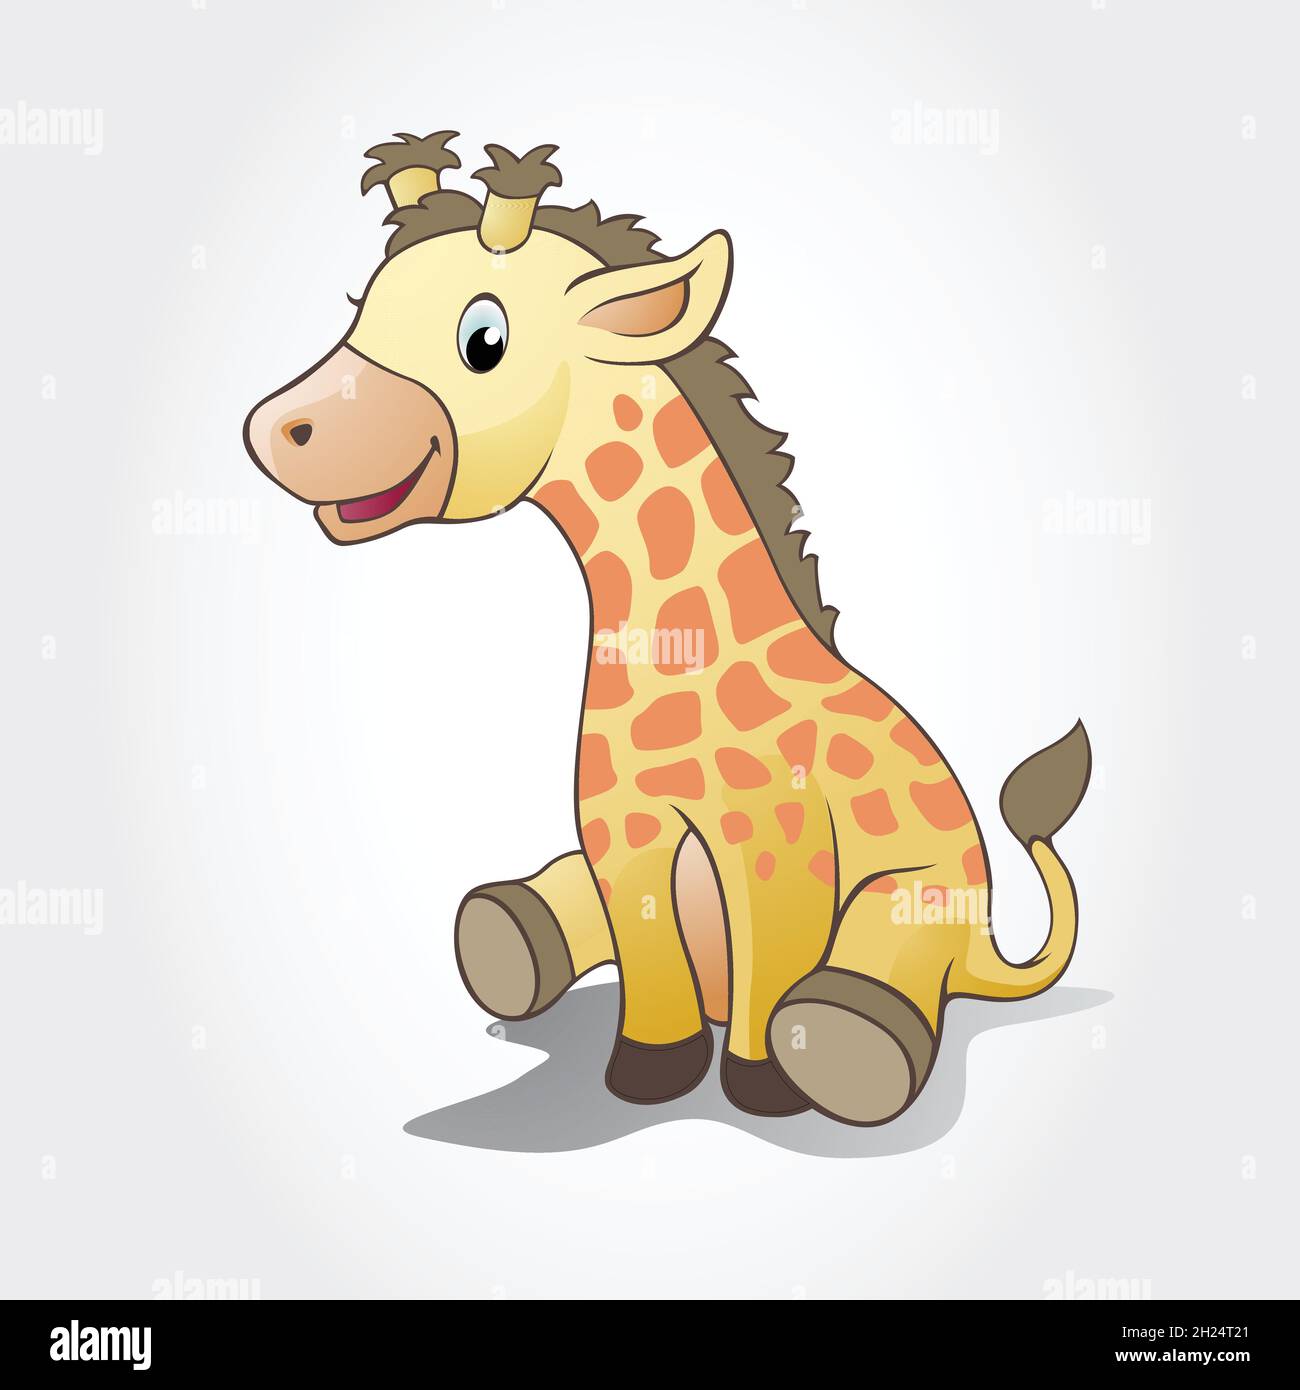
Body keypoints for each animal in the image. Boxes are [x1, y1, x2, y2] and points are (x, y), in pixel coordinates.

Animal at [244, 133, 1092, 1125]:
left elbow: (771, 970)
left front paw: (764, 1089)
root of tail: (990, 946)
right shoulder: (621, 832)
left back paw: (853, 1032)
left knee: (873, 975)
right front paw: (648, 1075)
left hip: (920, 896)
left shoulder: (779, 849)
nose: (273, 427)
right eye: (361, 309)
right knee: (551, 920)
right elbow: (646, 960)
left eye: (483, 340)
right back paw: (509, 927)